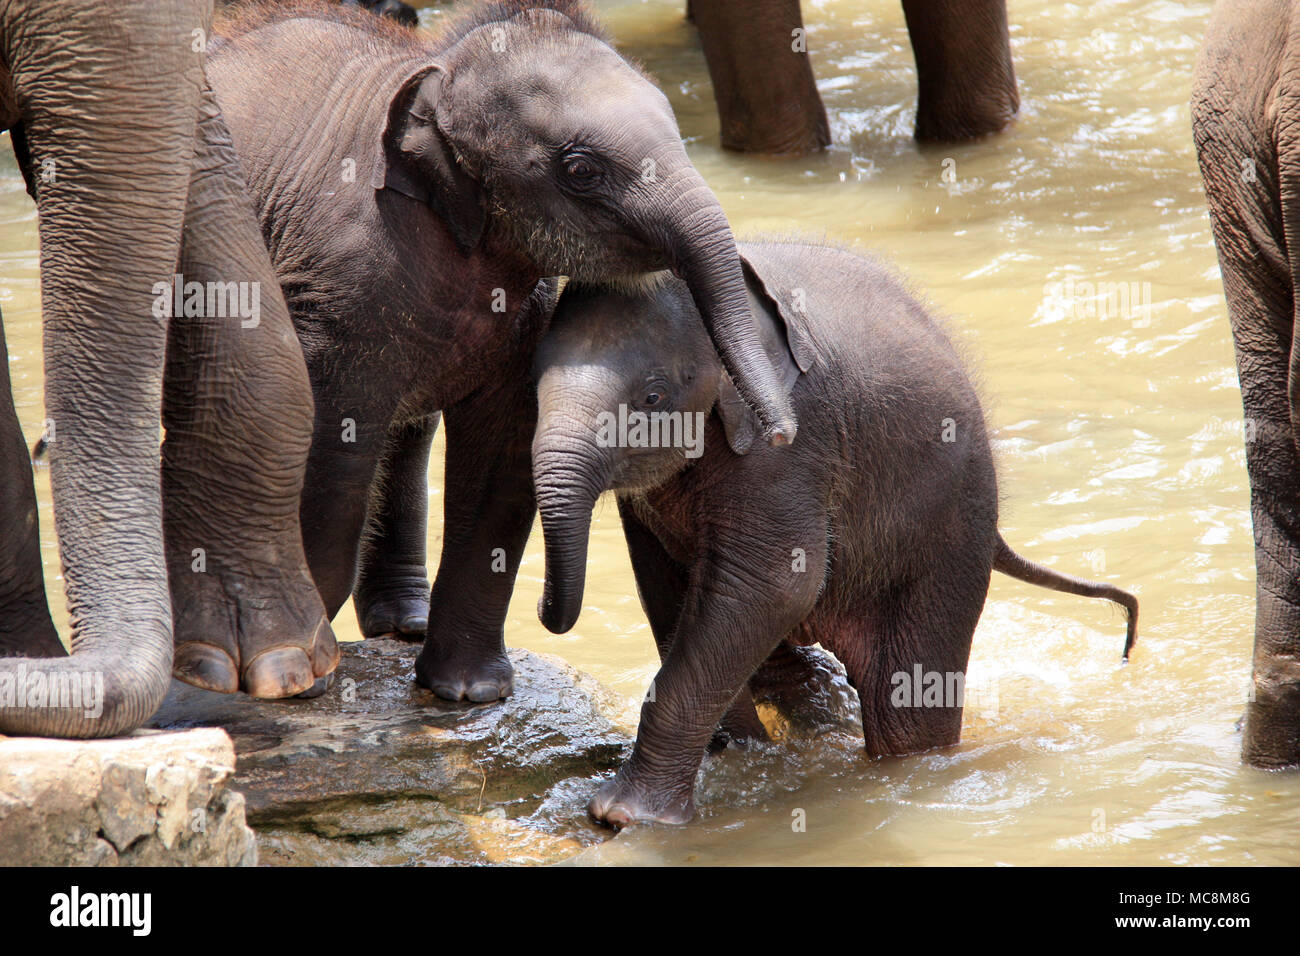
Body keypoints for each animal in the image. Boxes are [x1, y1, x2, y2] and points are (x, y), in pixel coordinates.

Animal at [202, 0, 797, 702]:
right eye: (580, 170)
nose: (782, 433)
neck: (433, 72)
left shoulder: (525, 315)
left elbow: (502, 457)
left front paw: (469, 693)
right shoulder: (335, 288)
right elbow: (331, 455)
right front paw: (306, 679)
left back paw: (402, 626)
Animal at [530, 240, 1139, 827]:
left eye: (653, 398)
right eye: (530, 388)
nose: (543, 613)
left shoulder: (791, 441)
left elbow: (773, 586)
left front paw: (623, 815)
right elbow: (668, 588)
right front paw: (738, 754)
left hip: (951, 530)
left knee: (907, 705)